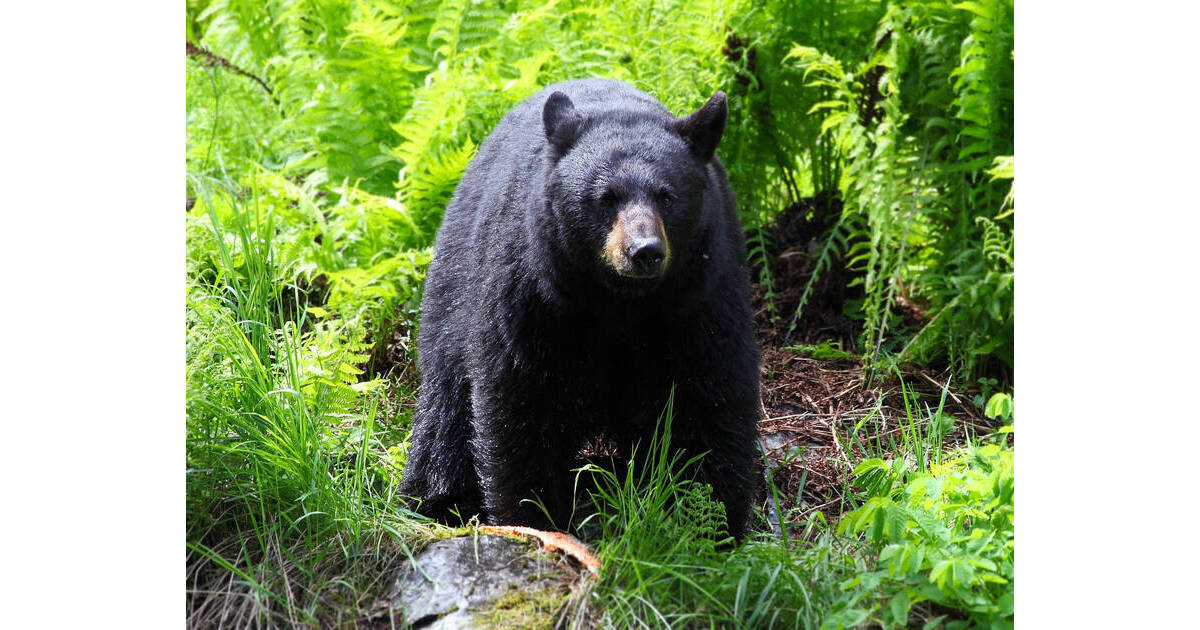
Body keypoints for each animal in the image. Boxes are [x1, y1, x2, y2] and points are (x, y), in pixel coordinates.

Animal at [400, 78, 760, 539]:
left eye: (667, 196)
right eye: (606, 197)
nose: (644, 251)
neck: (620, 301)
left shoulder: (700, 295)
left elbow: (708, 394)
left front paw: (708, 522)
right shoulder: (533, 293)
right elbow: (522, 399)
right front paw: (533, 516)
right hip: (456, 282)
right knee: (447, 399)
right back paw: (440, 498)